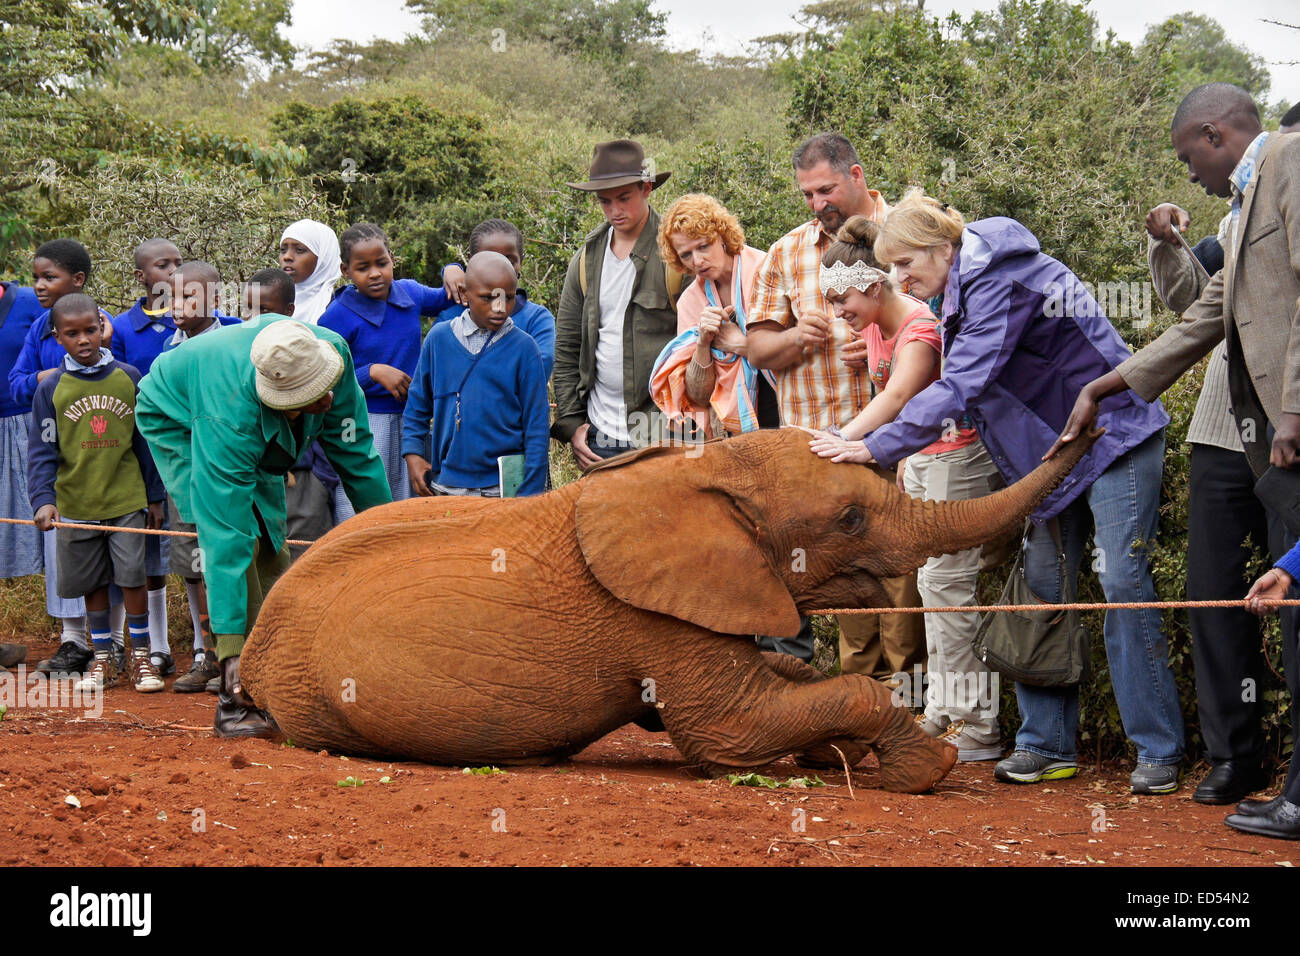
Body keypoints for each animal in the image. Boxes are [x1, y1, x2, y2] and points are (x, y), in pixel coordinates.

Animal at [241, 426, 1099, 793]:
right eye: (852, 518)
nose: (1089, 413)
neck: (708, 467)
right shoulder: (657, 616)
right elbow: (730, 731)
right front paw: (928, 768)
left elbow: (784, 681)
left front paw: (841, 756)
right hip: (316, 702)